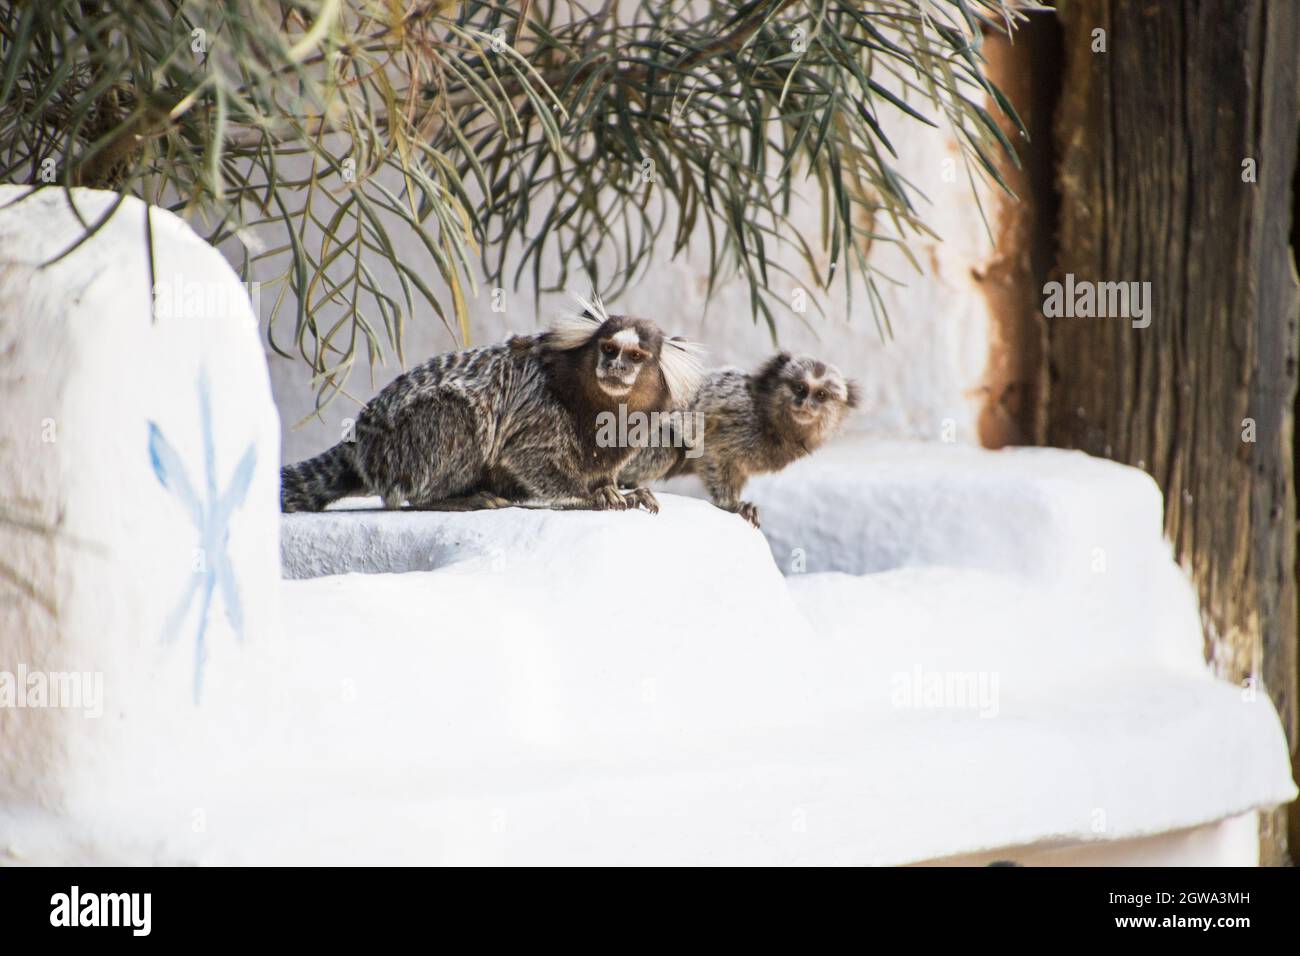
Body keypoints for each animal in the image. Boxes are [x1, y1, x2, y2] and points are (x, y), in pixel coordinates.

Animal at [280, 294, 705, 514]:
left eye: (635, 356)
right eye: (609, 348)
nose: (614, 367)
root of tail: (362, 434)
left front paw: (621, 489)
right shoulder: (541, 413)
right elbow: (528, 458)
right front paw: (591, 496)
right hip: (402, 441)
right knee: (457, 419)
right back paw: (450, 500)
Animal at [617, 352, 859, 528]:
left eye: (821, 395)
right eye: (800, 388)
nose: (806, 404)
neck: (769, 418)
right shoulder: (738, 416)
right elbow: (711, 453)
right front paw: (731, 504)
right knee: (666, 443)